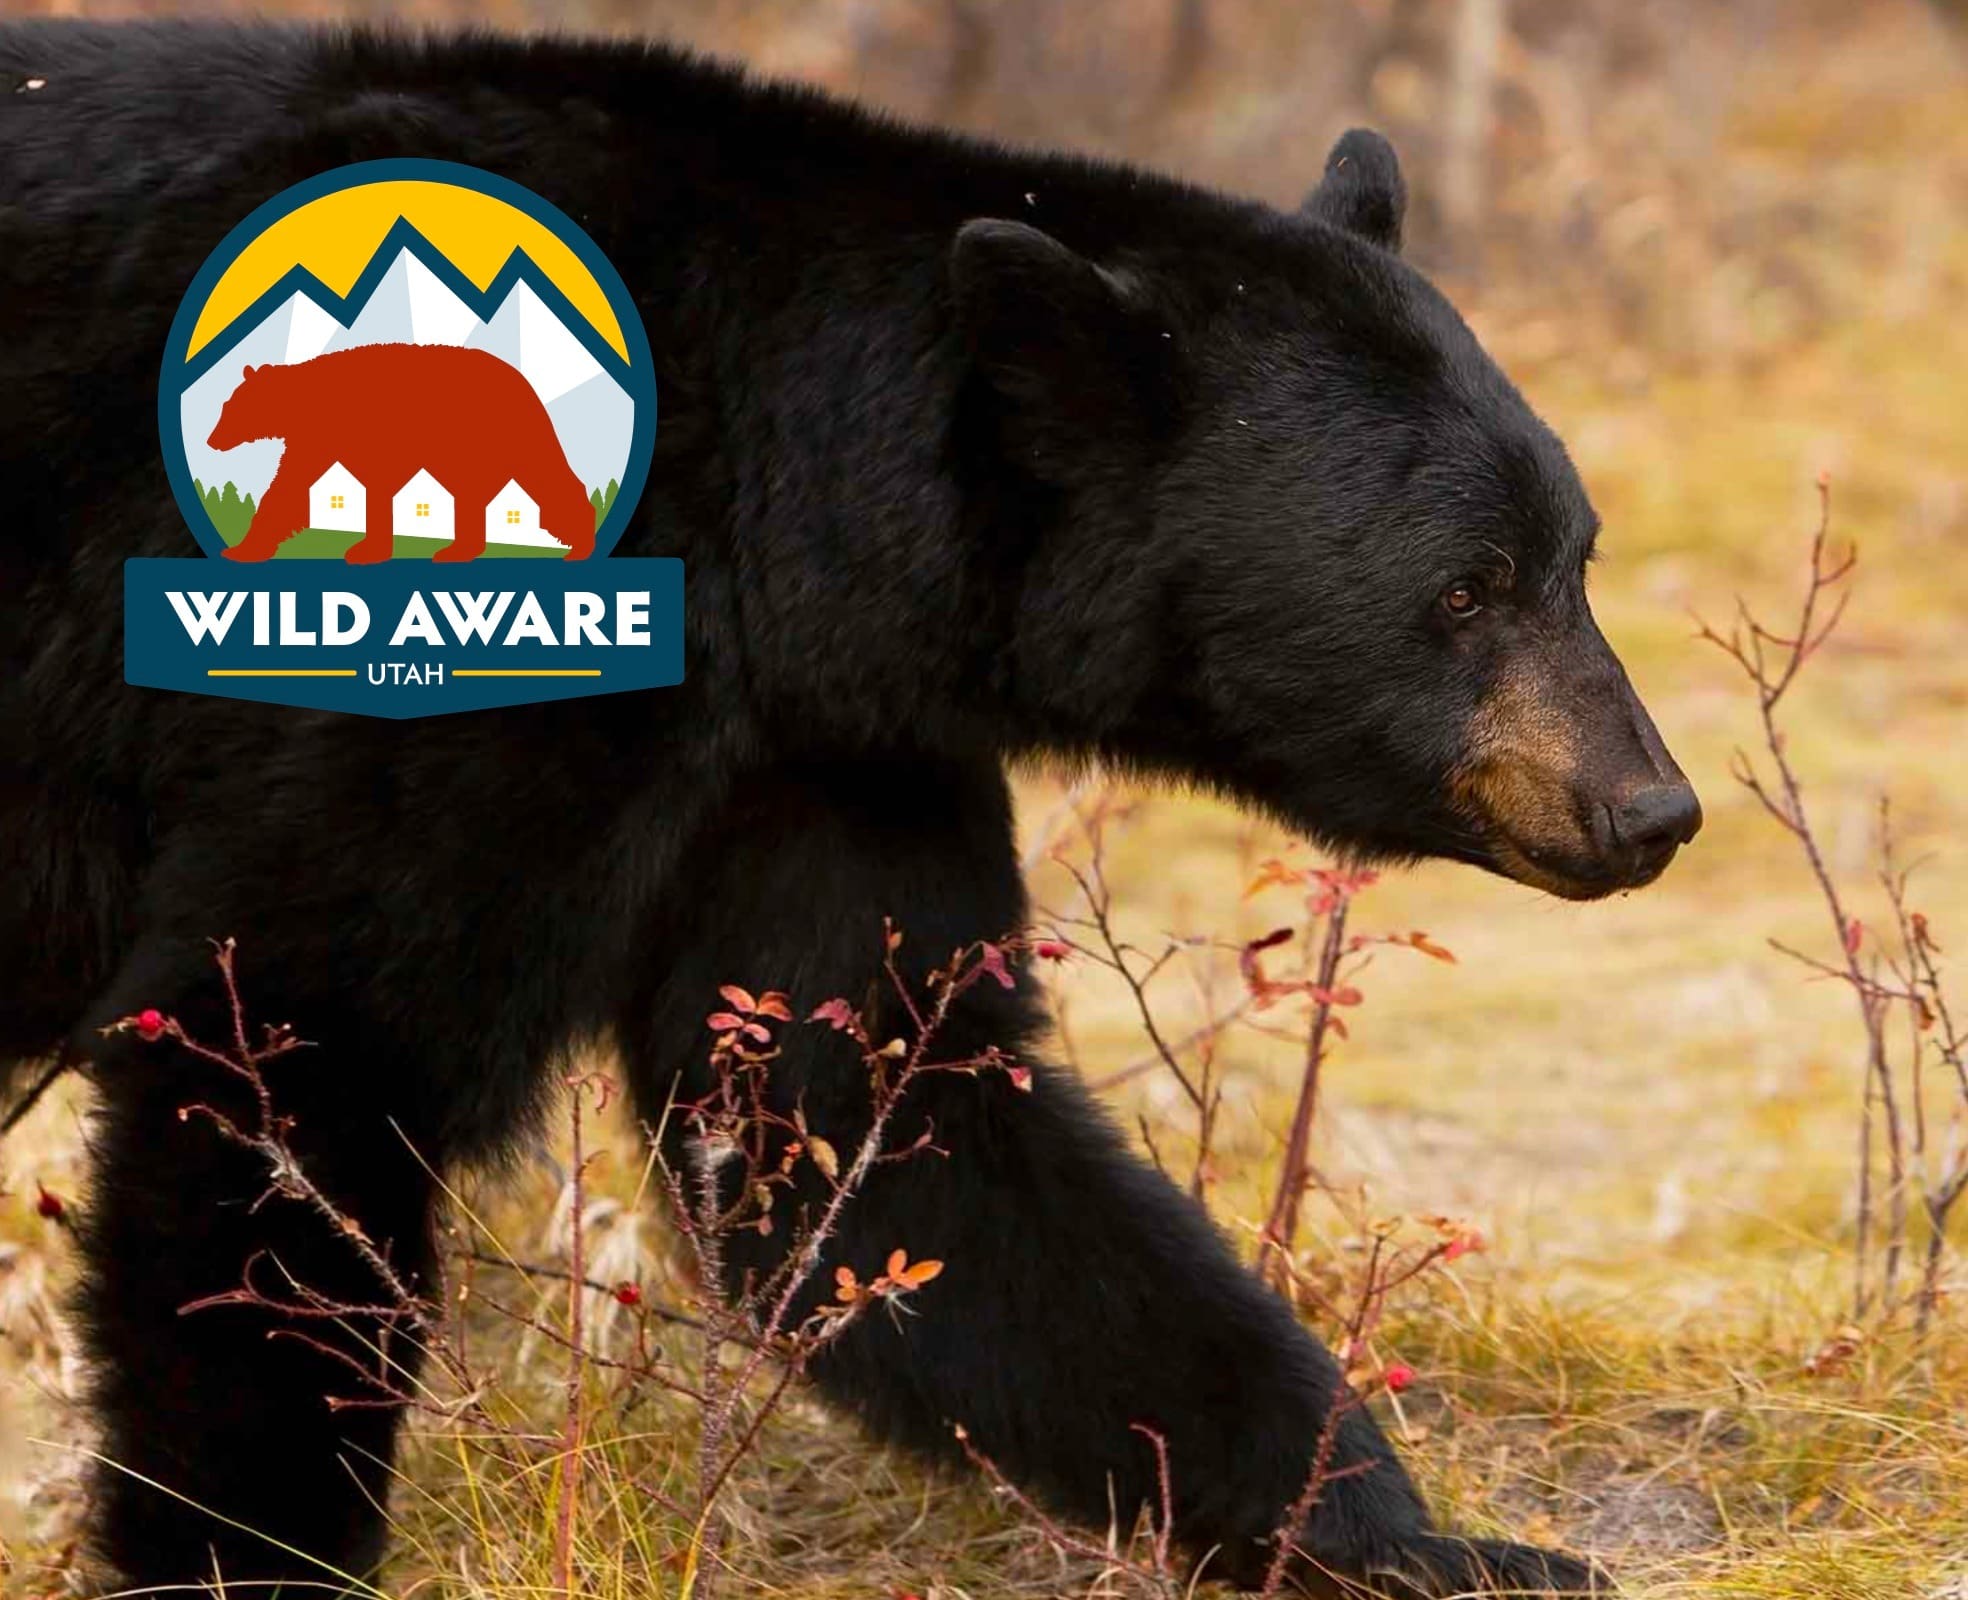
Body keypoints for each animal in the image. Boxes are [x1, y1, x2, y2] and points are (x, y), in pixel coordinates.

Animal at [208, 344, 598, 563]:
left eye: (231, 408)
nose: (212, 440)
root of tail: (528, 387)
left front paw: (364, 552)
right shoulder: (319, 441)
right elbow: (294, 485)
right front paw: (244, 548)